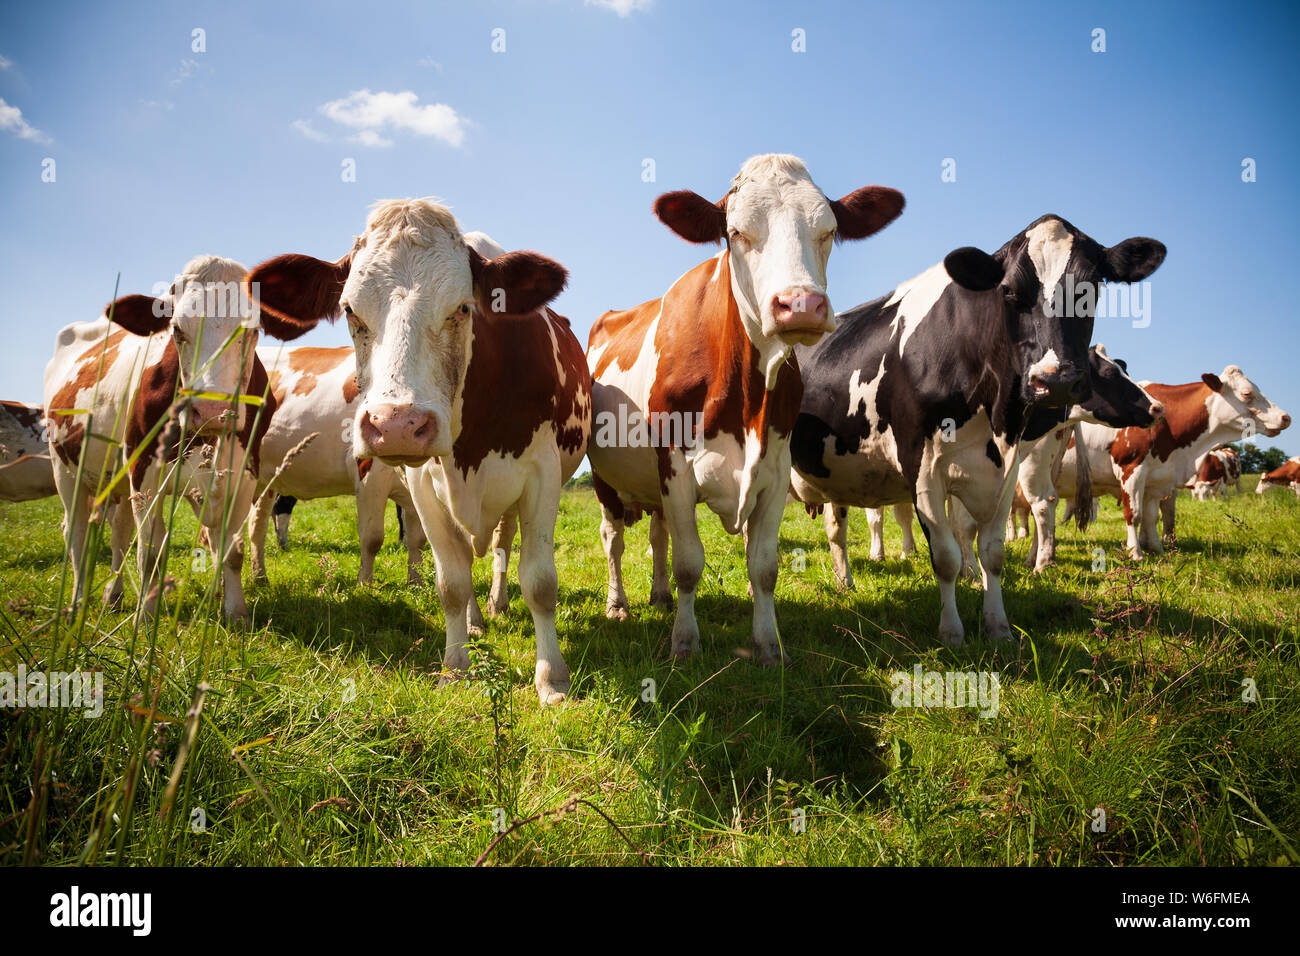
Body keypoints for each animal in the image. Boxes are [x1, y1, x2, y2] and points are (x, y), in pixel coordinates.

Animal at [44, 255, 280, 620]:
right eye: (177, 330)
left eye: (252, 331)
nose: (211, 410)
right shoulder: (144, 470)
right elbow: (151, 553)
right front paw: (146, 615)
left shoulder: (245, 473)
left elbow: (231, 551)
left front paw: (235, 612)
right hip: (66, 469)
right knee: (78, 534)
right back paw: (78, 603)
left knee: (119, 533)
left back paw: (112, 595)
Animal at [247, 344, 428, 586]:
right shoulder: (369, 474)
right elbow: (372, 538)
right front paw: (364, 585)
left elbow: (417, 539)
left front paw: (416, 583)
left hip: (265, 480)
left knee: (257, 525)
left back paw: (259, 577)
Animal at [586, 153, 905, 665]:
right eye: (736, 232)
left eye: (829, 231)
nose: (801, 304)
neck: (744, 396)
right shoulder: (675, 468)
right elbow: (689, 562)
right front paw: (684, 642)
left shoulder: (773, 469)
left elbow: (763, 567)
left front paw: (769, 645)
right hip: (605, 478)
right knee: (613, 539)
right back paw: (619, 605)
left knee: (657, 535)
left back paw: (659, 595)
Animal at [790, 214, 1167, 644]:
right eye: (1009, 291)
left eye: (1091, 289)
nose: (1054, 381)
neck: (996, 413)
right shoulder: (923, 468)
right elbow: (946, 555)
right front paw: (952, 632)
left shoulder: (1007, 467)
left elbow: (993, 553)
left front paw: (998, 627)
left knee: (835, 529)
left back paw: (845, 583)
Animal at [1059, 366, 1290, 558]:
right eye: (1247, 393)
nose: (1286, 417)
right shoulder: (1131, 470)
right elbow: (1134, 515)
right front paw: (1136, 553)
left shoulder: (1156, 478)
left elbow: (1152, 517)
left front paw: (1158, 550)